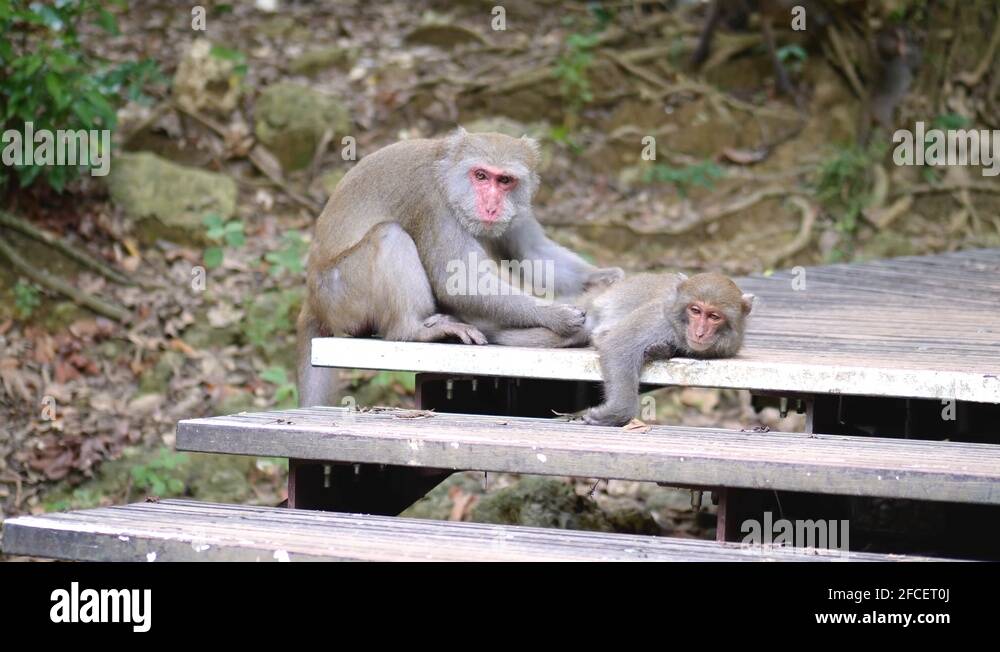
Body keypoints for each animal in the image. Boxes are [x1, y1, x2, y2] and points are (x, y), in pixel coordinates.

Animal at [297, 128, 623, 407]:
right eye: (480, 175)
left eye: (504, 181)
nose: (491, 206)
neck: (448, 177)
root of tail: (312, 300)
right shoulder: (433, 203)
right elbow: (458, 282)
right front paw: (555, 316)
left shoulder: (517, 206)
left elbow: (532, 253)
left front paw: (604, 278)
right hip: (341, 294)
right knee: (389, 236)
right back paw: (412, 330)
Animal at [479, 271, 754, 427]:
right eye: (695, 310)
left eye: (714, 316)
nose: (699, 332)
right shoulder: (658, 319)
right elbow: (619, 344)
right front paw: (616, 414)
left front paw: (661, 350)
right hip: (580, 312)